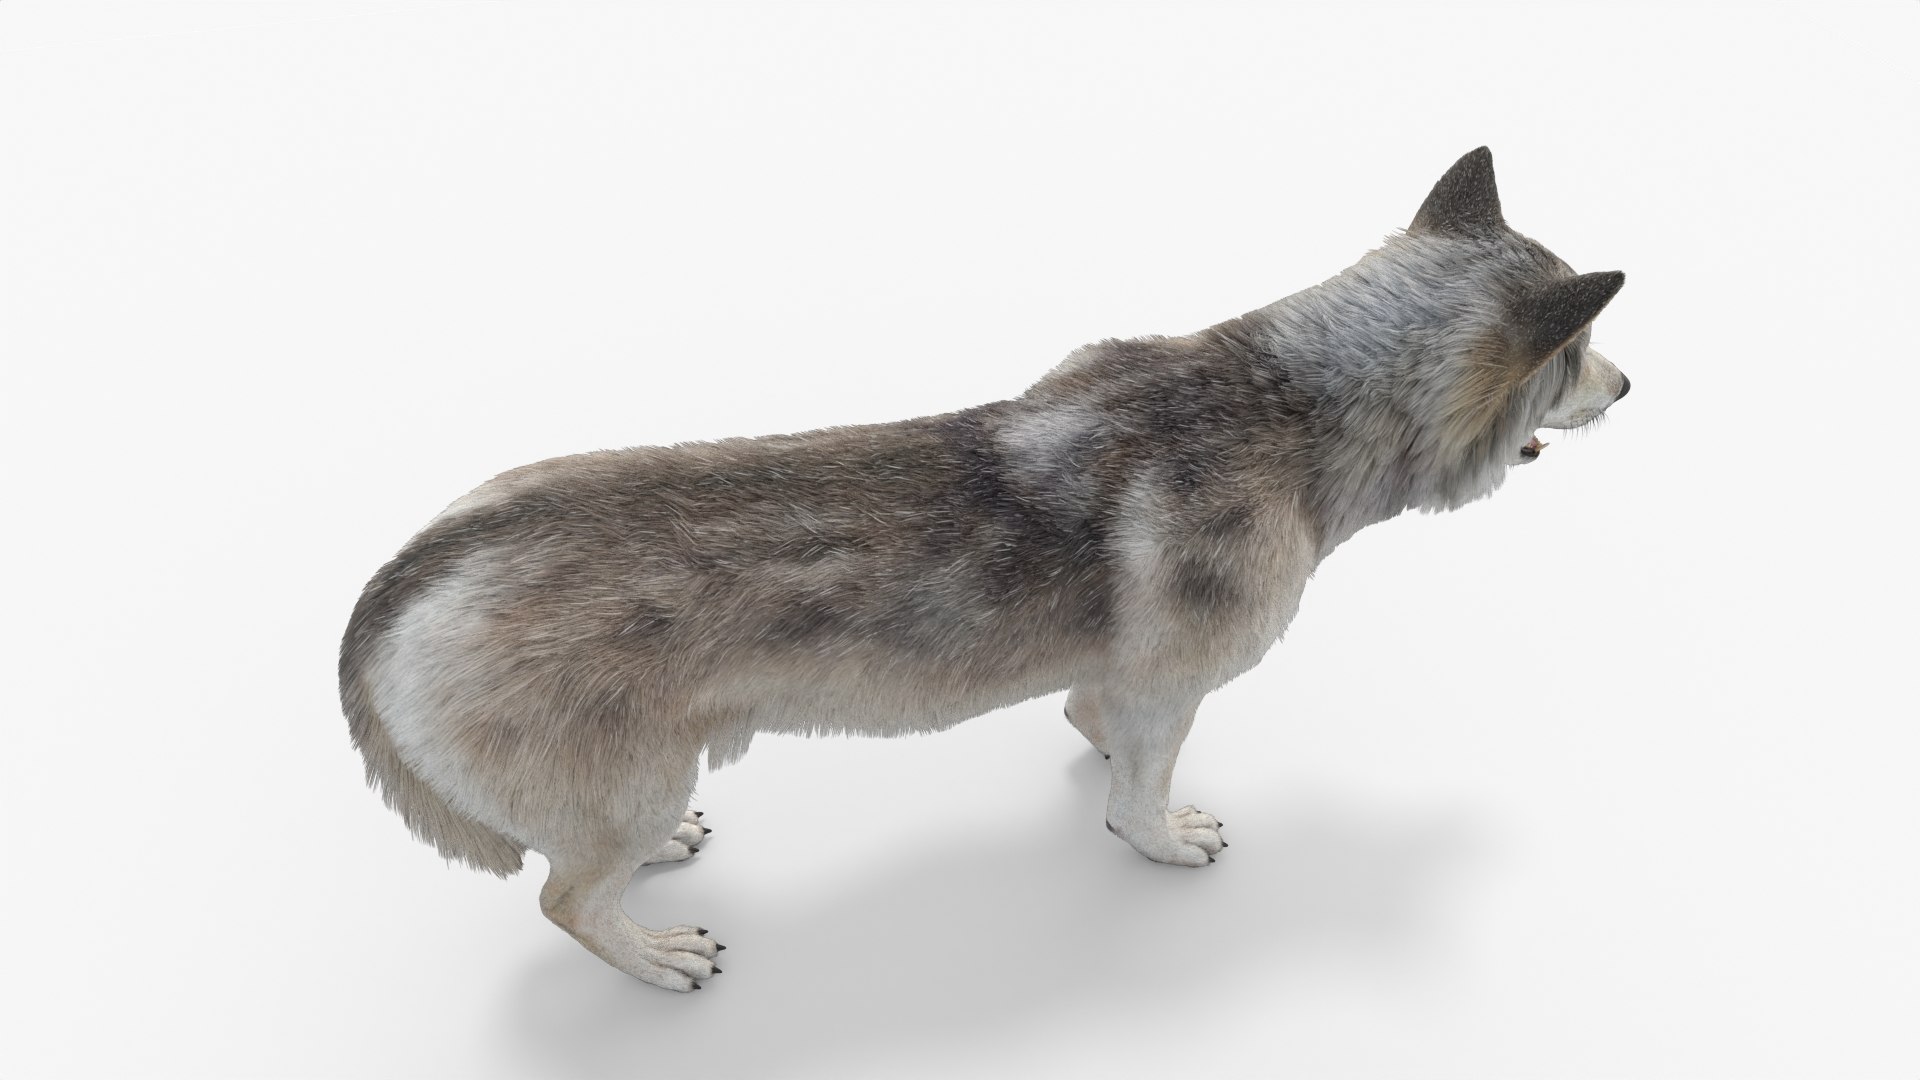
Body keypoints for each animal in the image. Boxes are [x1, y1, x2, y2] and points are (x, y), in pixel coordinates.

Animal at [339, 147, 1629, 991]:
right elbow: (1141, 798)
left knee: (587, 861)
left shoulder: (1128, 676)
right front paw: (1161, 840)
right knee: (563, 899)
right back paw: (654, 957)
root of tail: (402, 581)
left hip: (631, 785)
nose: (1631, 386)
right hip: (629, 784)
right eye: (1576, 360)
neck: (1291, 401)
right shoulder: (1176, 685)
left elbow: (1098, 724)